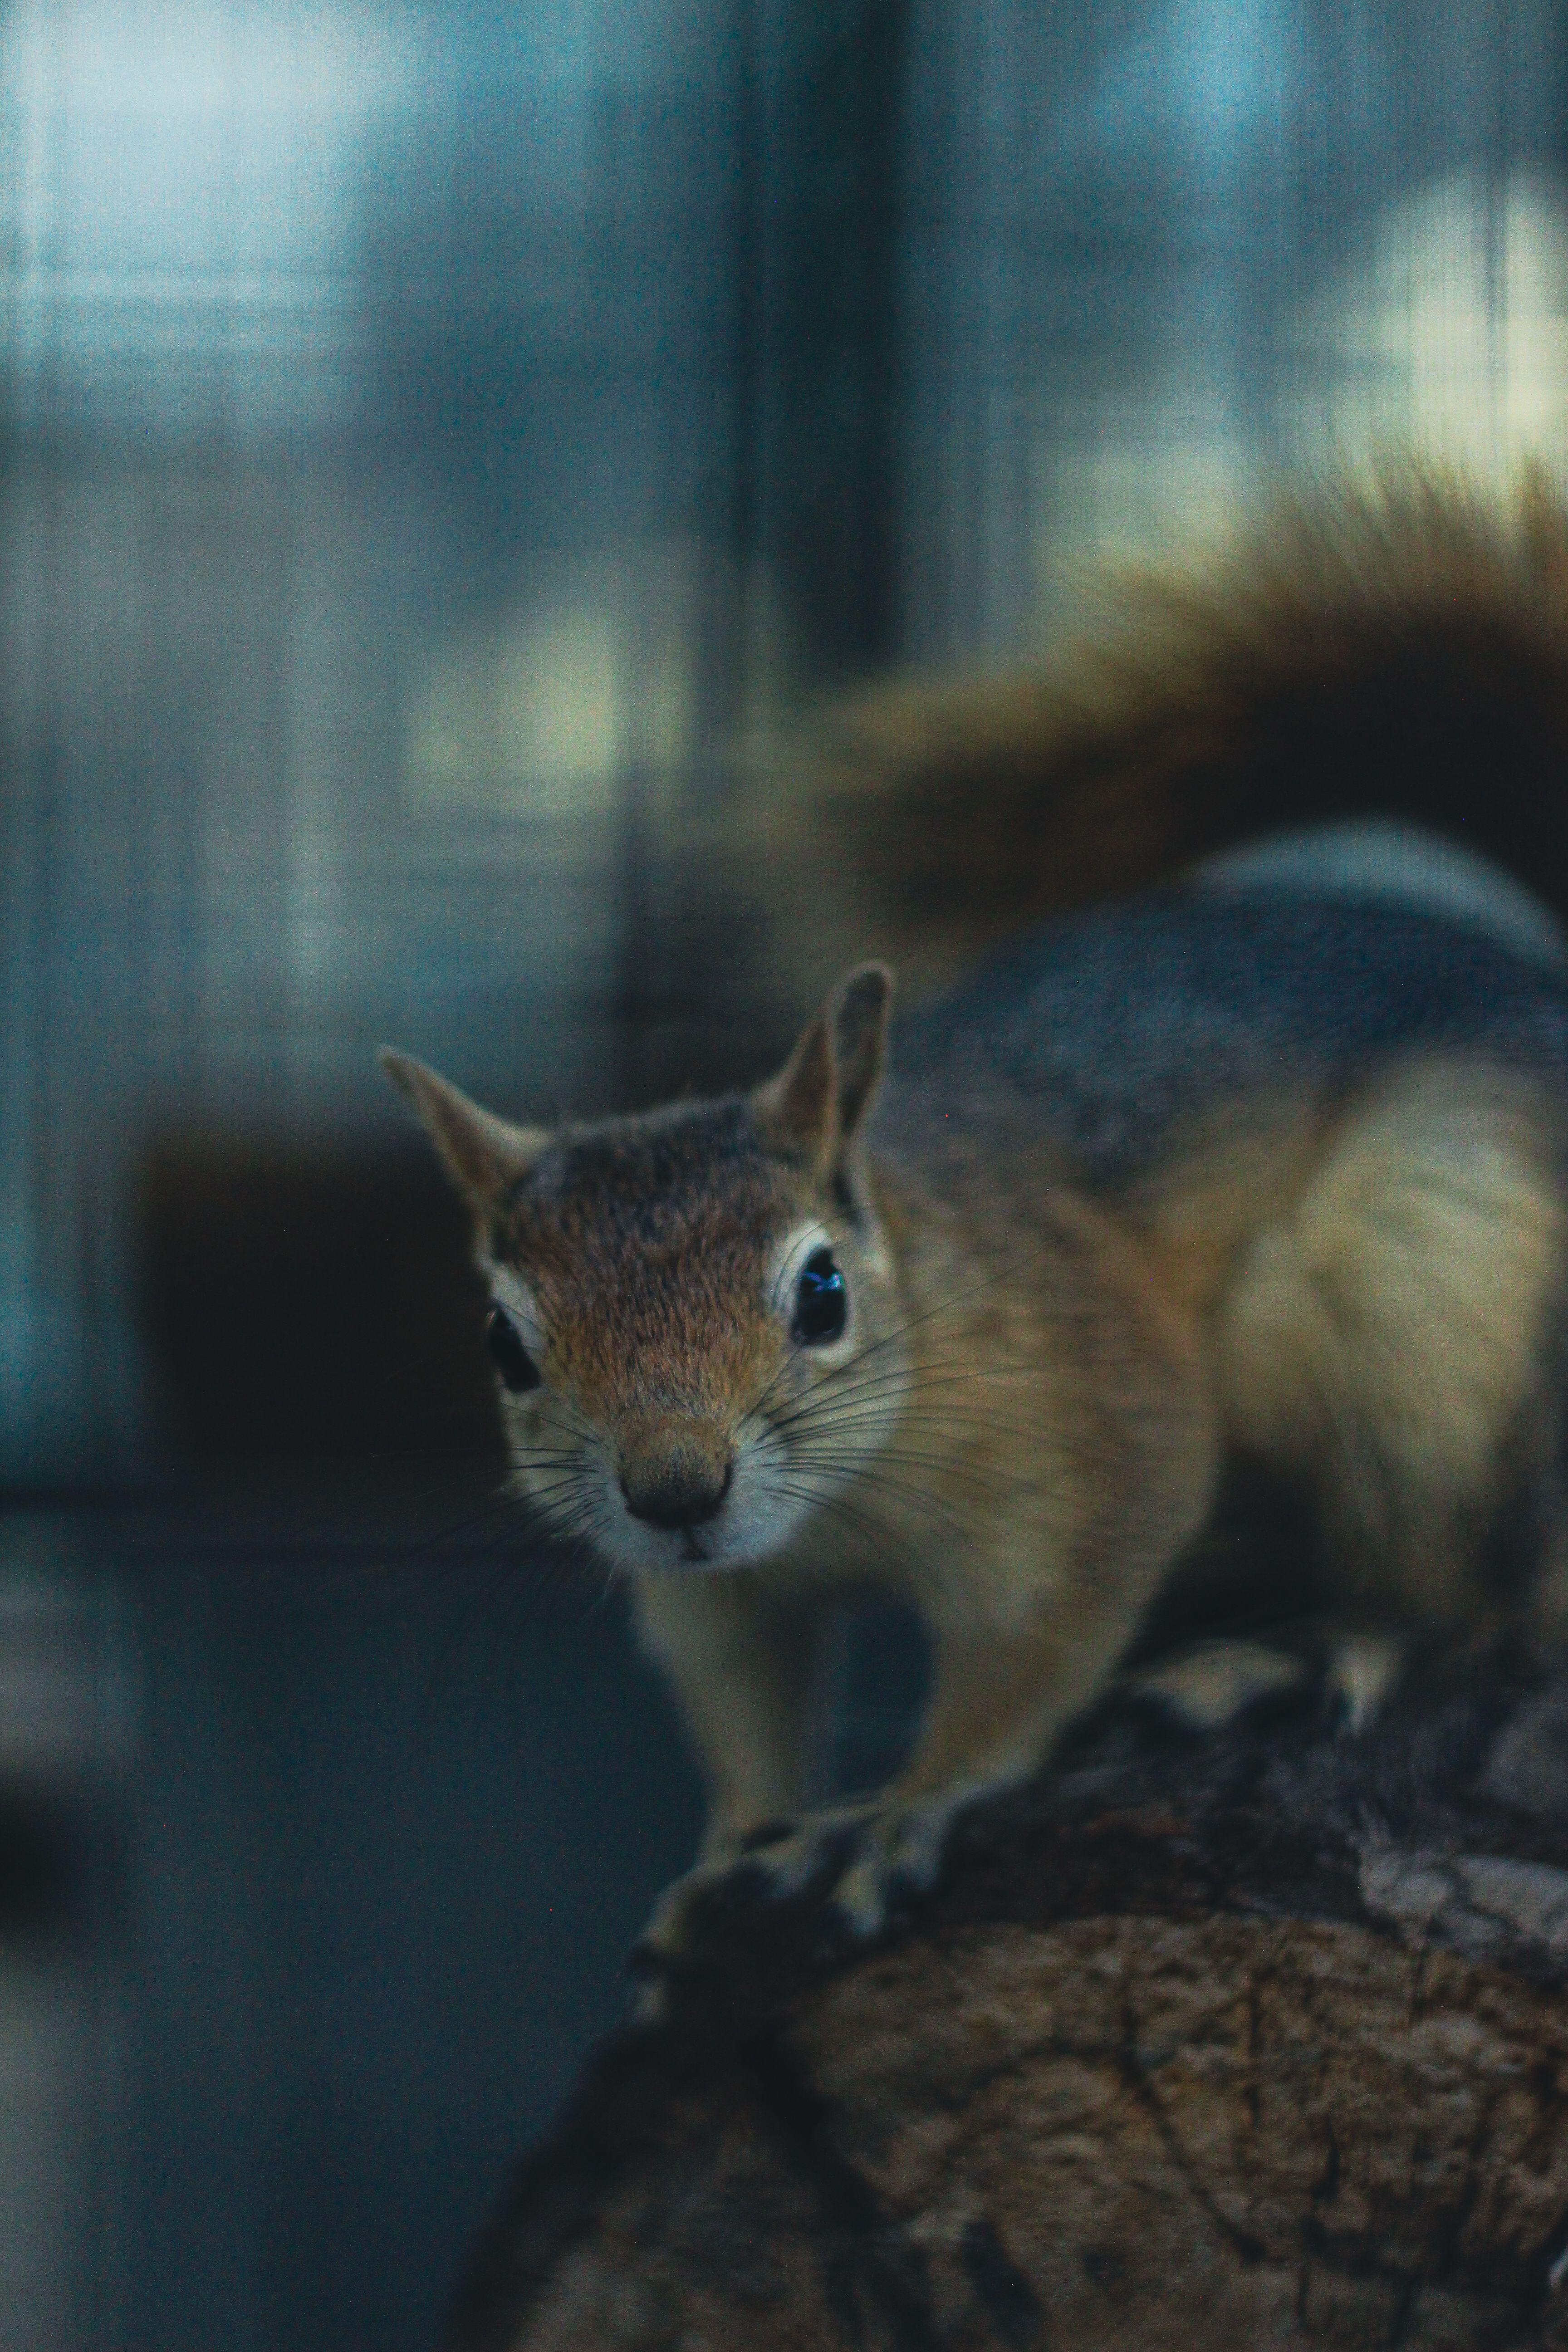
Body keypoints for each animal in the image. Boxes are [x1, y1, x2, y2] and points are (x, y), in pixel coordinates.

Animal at [381, 469, 1568, 1969]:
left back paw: (1298, 1654)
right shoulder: (719, 1593)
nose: (675, 1491)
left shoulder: (1101, 1428)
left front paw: (905, 1806)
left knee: (1484, 1600)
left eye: (822, 1293)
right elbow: (741, 1705)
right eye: (505, 1344)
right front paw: (726, 1857)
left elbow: (1032, 1650)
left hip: (1430, 1306)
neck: (841, 1509)